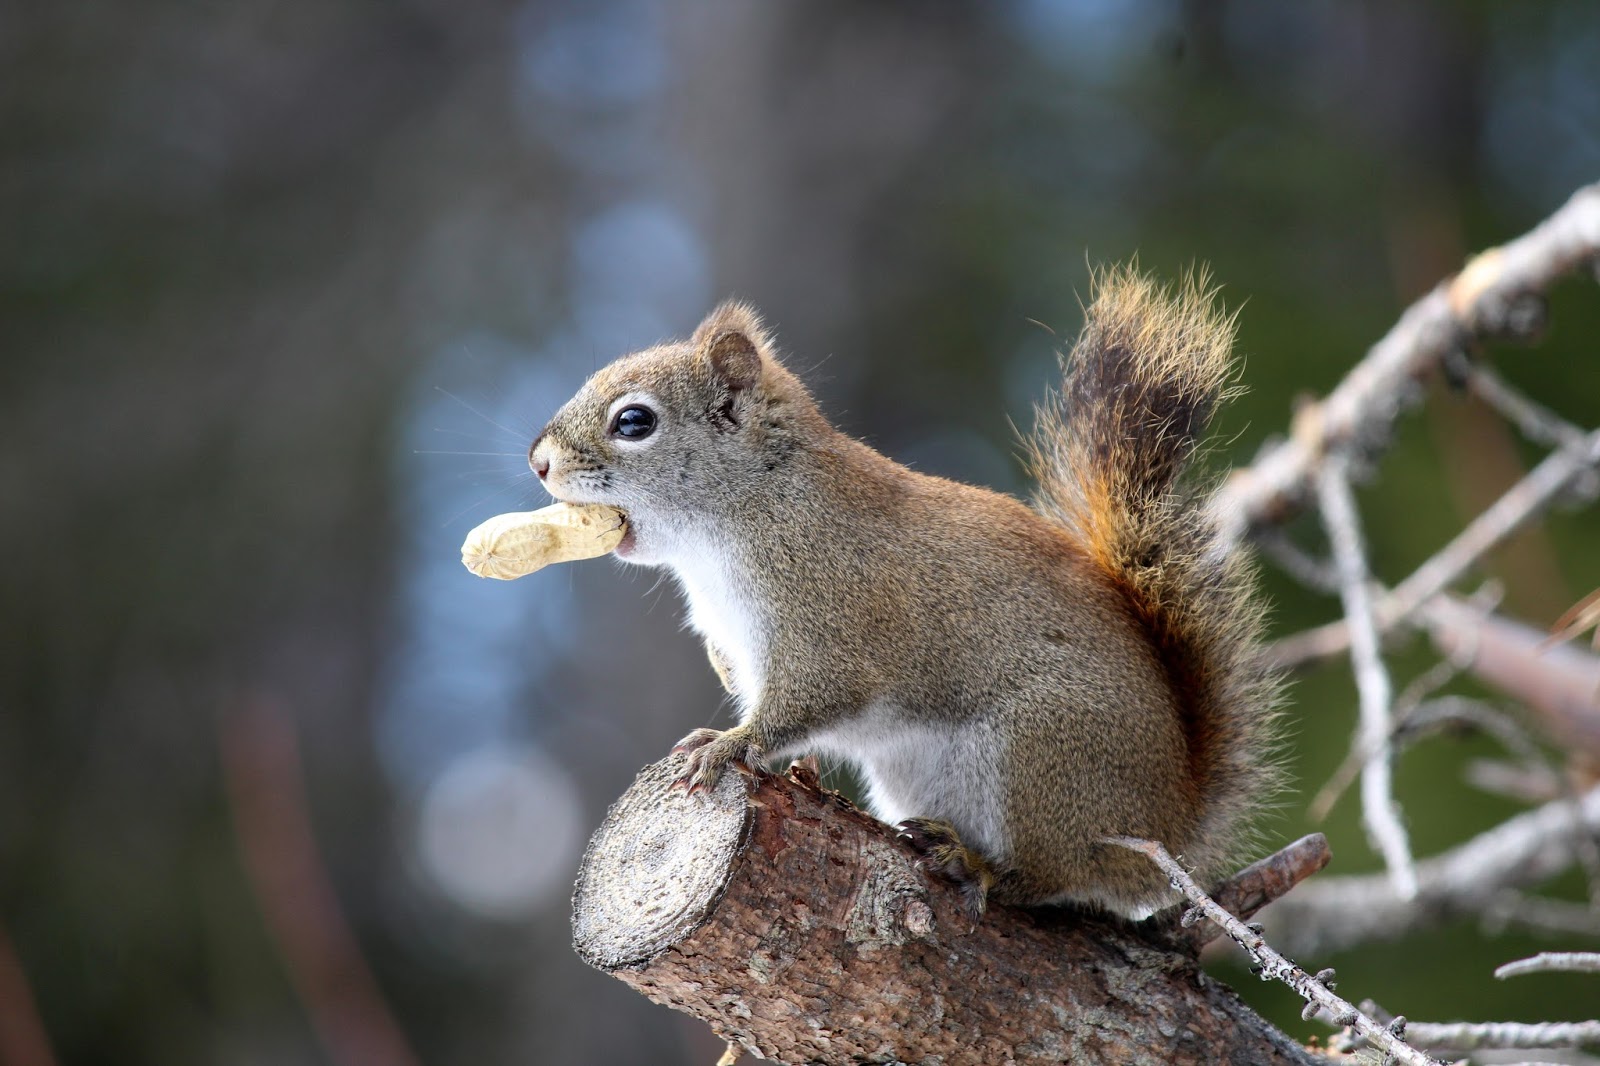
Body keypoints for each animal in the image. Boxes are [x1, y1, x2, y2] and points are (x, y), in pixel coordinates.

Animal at [529, 267, 1283, 918]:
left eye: (634, 422)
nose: (538, 462)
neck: (742, 511)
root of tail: (1171, 826)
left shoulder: (824, 613)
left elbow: (806, 698)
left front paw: (730, 744)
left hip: (1042, 756)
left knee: (1056, 873)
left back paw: (980, 867)